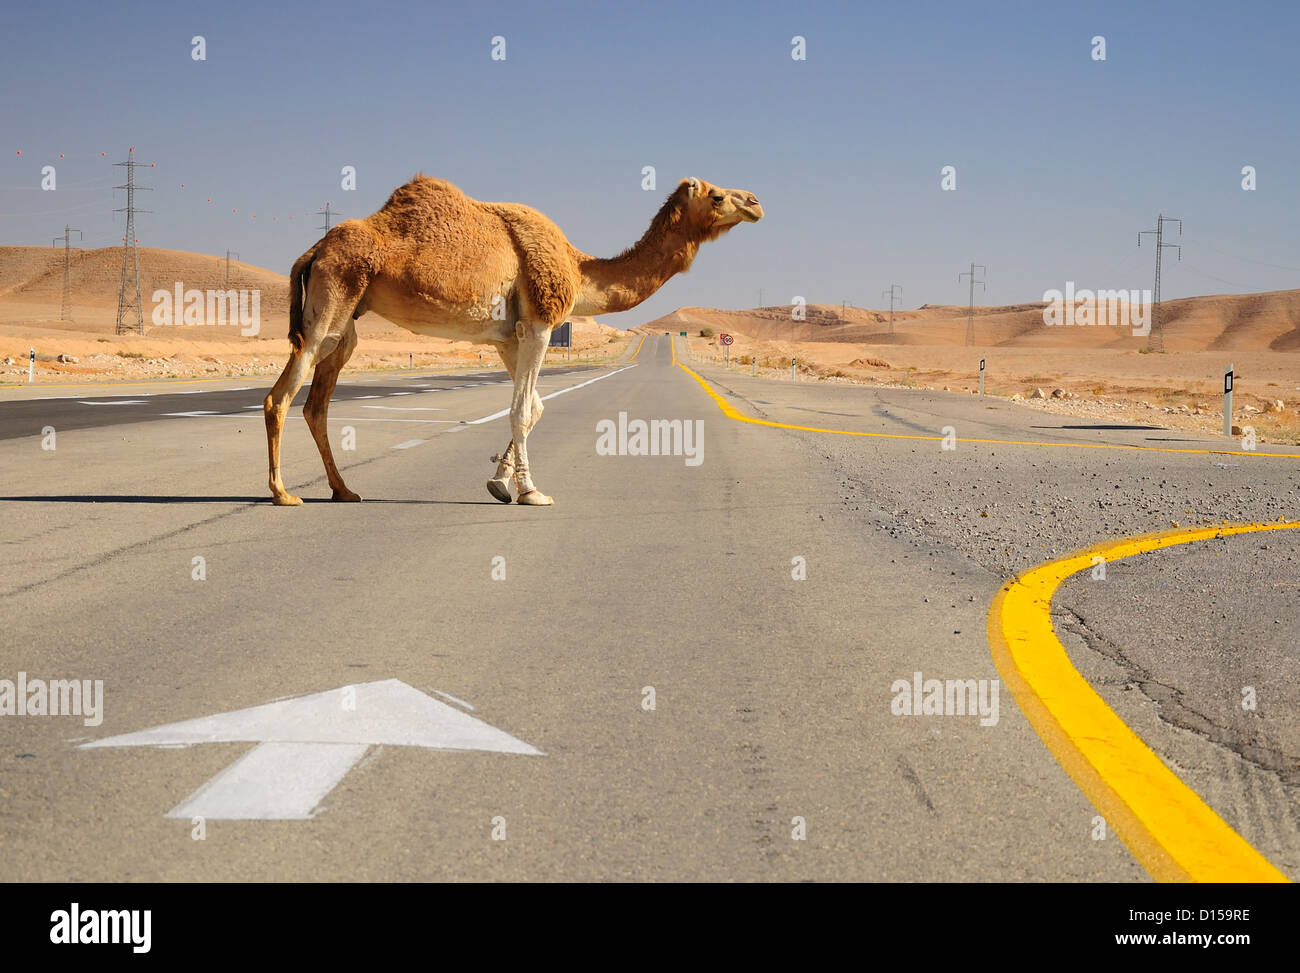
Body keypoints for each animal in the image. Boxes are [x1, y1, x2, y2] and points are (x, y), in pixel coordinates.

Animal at [264, 174, 762, 506]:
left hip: (346, 318)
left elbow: (534, 407)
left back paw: (344, 490)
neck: (577, 269)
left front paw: (500, 483)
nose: (756, 202)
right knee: (281, 396)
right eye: (718, 195)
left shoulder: (509, 335)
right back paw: (283, 493)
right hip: (333, 297)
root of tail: (314, 250)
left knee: (317, 402)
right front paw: (531, 491)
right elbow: (522, 410)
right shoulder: (541, 322)